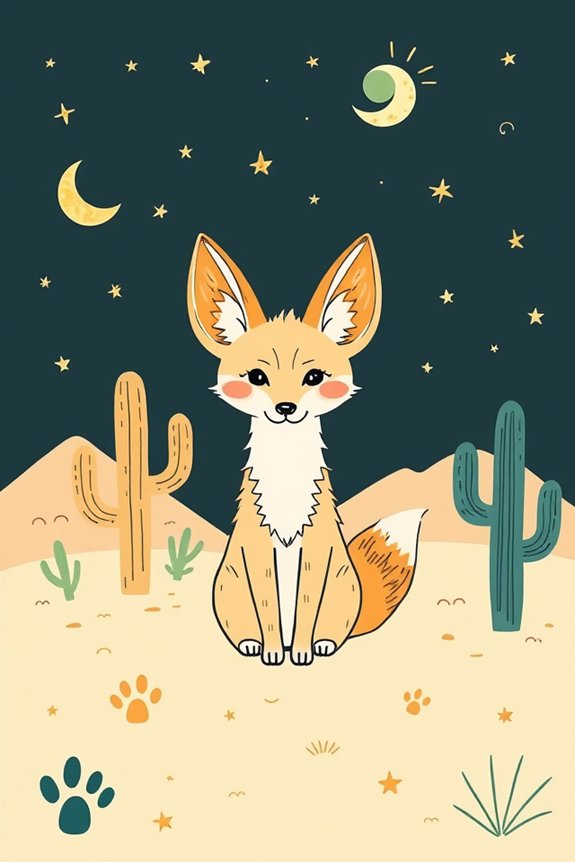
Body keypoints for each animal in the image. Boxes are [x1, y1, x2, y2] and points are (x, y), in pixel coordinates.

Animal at [187, 232, 425, 665]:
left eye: (314, 377)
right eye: (256, 377)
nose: (286, 408)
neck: (286, 482)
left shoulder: (316, 548)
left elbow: (306, 609)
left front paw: (300, 652)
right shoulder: (258, 548)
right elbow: (268, 611)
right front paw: (270, 653)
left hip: (341, 585)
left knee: (330, 629)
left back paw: (322, 644)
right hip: (229, 587)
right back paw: (253, 645)